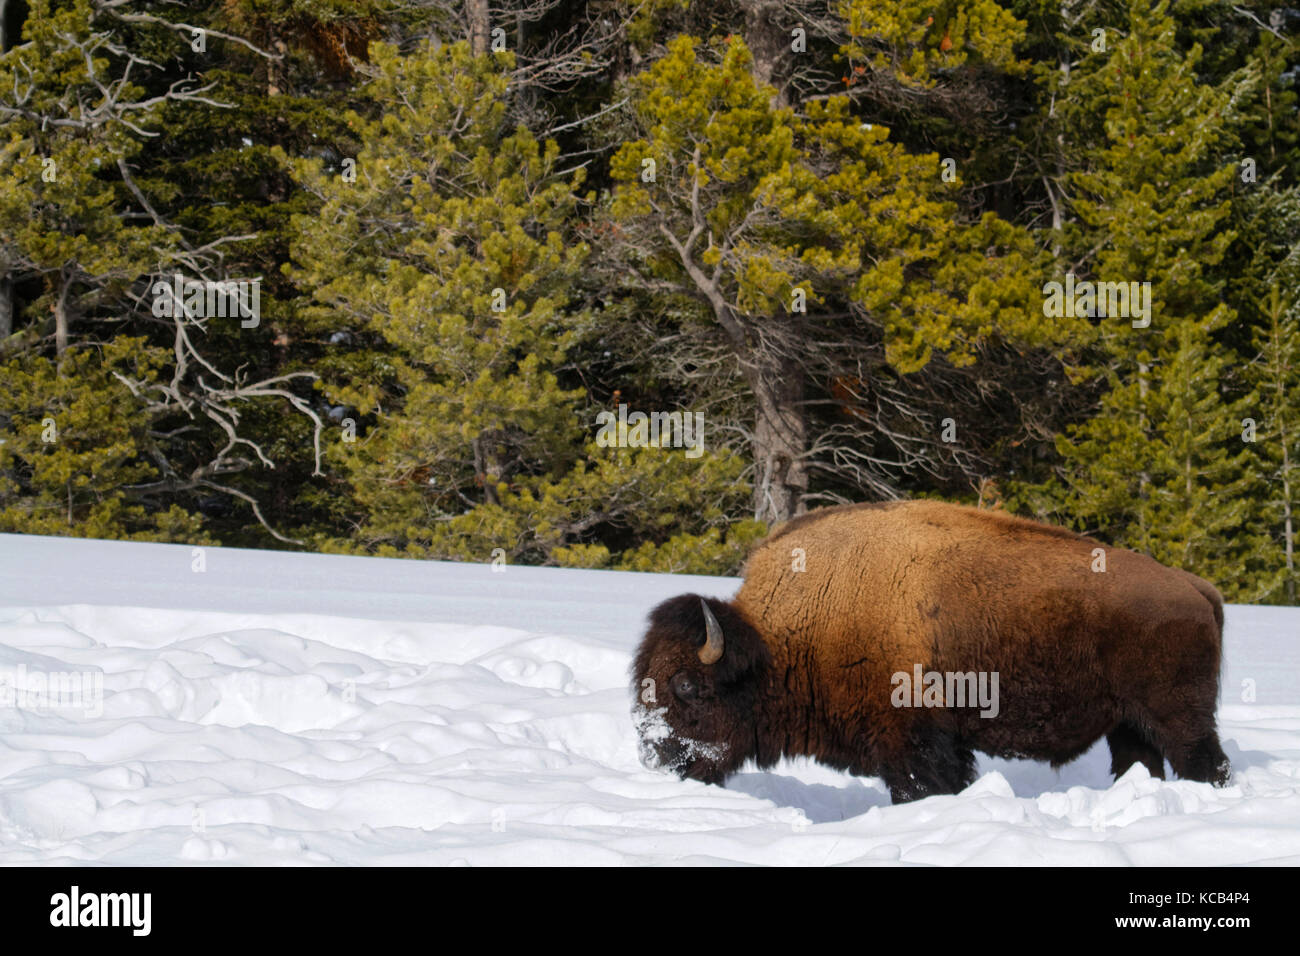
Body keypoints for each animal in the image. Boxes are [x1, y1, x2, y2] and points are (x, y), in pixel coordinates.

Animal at [631, 500, 1231, 803]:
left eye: (687, 686)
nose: (655, 757)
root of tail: (1195, 588)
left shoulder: (913, 741)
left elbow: (921, 787)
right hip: (1128, 724)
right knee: (1141, 764)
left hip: (1178, 717)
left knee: (1207, 764)